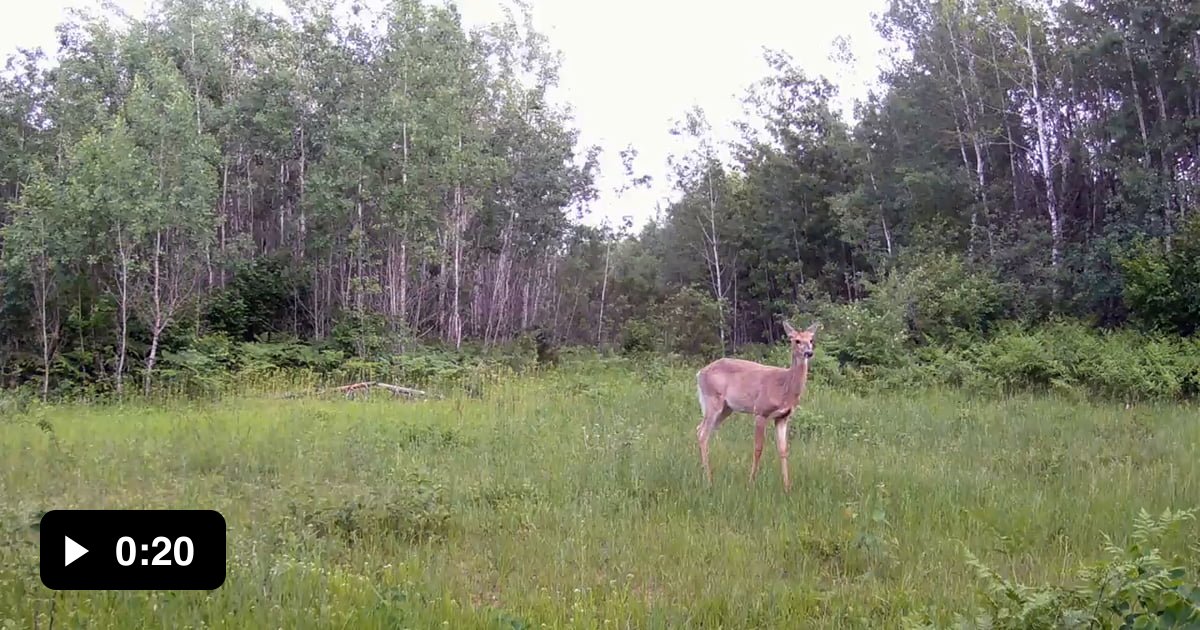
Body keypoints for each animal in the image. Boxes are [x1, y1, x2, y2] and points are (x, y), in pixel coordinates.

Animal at [694, 320, 821, 491]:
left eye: (811, 339)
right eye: (796, 340)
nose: (809, 352)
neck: (784, 386)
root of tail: (699, 373)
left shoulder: (783, 417)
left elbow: (783, 450)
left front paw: (787, 487)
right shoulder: (761, 411)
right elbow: (758, 448)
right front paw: (751, 482)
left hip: (726, 408)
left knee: (700, 430)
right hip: (712, 401)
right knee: (703, 434)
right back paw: (709, 480)